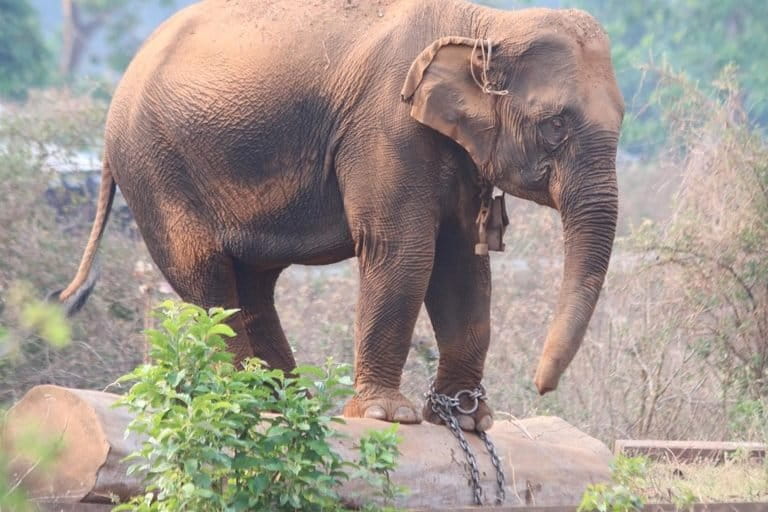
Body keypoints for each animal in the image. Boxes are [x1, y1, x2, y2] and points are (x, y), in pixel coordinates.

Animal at [57, 0, 623, 432]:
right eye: (554, 125)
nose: (541, 386)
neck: (487, 23)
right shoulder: (386, 127)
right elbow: (406, 252)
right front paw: (386, 415)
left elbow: (462, 263)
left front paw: (466, 420)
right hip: (156, 169)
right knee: (207, 277)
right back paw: (244, 399)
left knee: (250, 286)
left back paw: (282, 402)